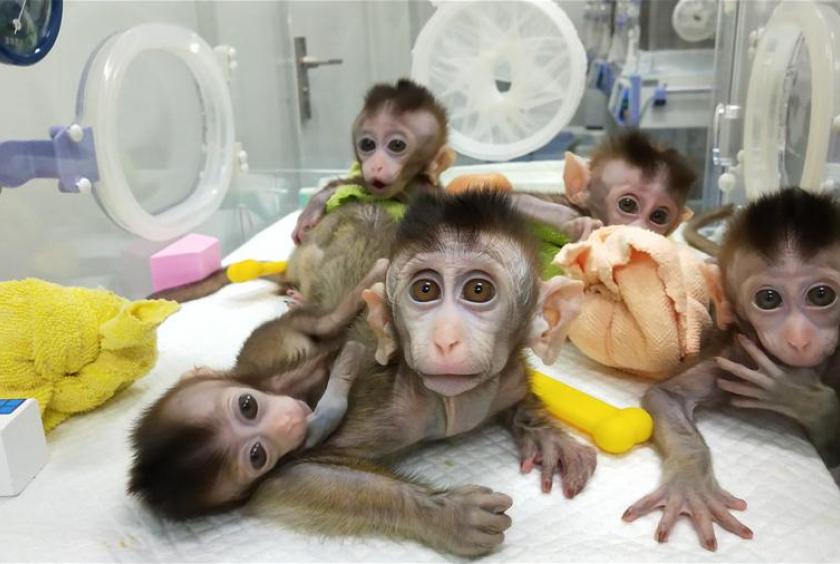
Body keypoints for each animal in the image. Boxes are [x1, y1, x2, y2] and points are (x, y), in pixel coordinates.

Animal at [129, 191, 595, 557]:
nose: (446, 339)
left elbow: (519, 398)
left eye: (478, 291)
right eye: (425, 290)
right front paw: (446, 515)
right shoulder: (380, 400)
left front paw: (545, 434)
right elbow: (285, 478)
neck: (451, 404)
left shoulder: (506, 379)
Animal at [621, 187, 840, 551]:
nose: (799, 339)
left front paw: (798, 394)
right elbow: (666, 396)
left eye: (822, 295)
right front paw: (690, 482)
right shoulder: (736, 356)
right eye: (769, 299)